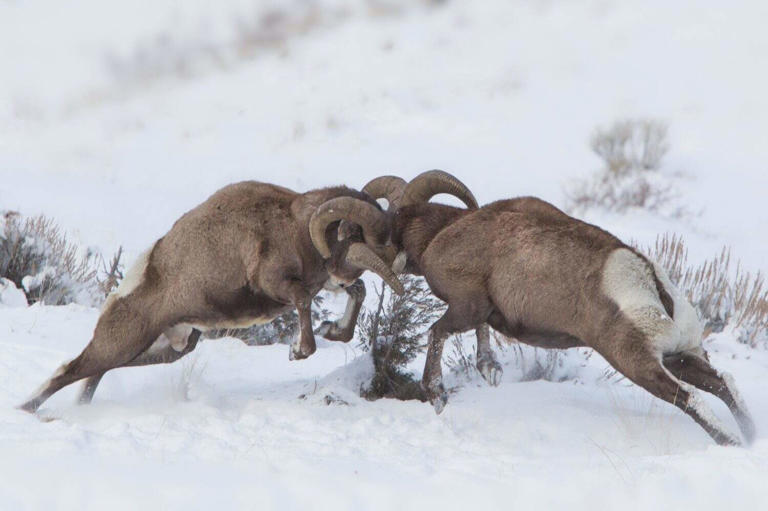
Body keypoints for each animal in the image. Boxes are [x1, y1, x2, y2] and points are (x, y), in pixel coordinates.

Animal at [19, 181, 403, 413]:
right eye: (362, 238)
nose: (398, 262)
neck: (294, 230)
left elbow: (357, 293)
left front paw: (333, 331)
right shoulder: (281, 286)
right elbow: (304, 305)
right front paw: (297, 351)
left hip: (173, 346)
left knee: (97, 372)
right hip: (124, 342)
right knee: (69, 371)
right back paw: (25, 408)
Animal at [357, 170, 755, 446]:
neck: (444, 233)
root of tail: (650, 282)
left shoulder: (466, 307)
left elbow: (437, 333)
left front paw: (436, 395)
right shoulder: (480, 314)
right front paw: (488, 369)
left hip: (638, 363)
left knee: (689, 398)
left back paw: (732, 444)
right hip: (680, 357)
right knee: (726, 387)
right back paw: (750, 438)